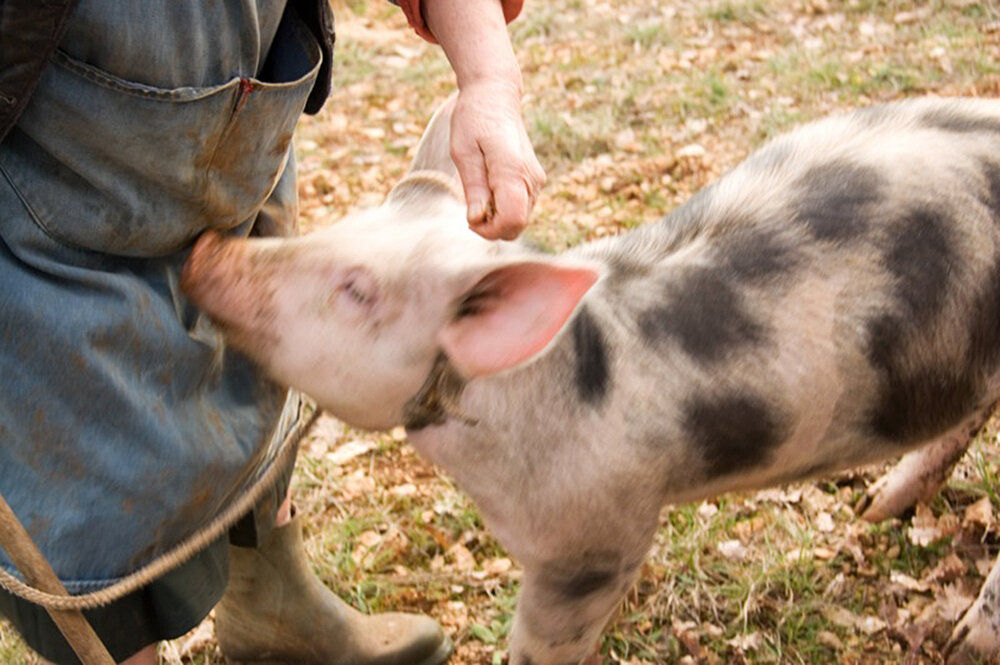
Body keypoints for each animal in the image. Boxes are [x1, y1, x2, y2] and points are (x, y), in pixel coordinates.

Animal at [181, 95, 1000, 665]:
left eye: (356, 289)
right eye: (344, 222)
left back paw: (962, 642)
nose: (206, 251)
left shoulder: (596, 545)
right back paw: (876, 509)